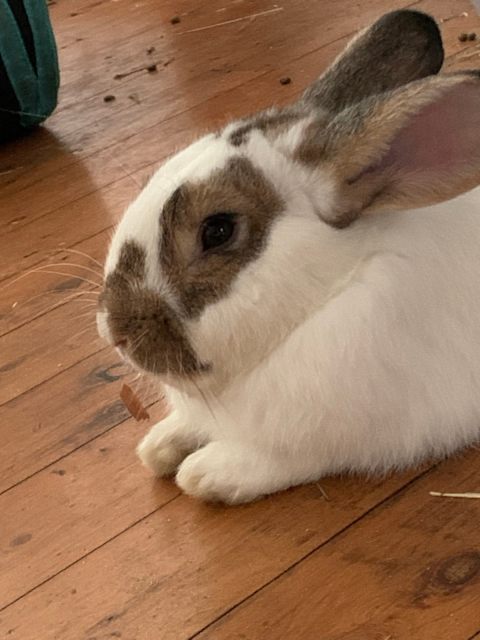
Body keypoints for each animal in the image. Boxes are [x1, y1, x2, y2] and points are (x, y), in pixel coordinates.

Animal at [97, 9, 480, 504]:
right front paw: (160, 444)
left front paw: (207, 473)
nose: (116, 333)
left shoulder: (356, 437)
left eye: (217, 230)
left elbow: (285, 461)